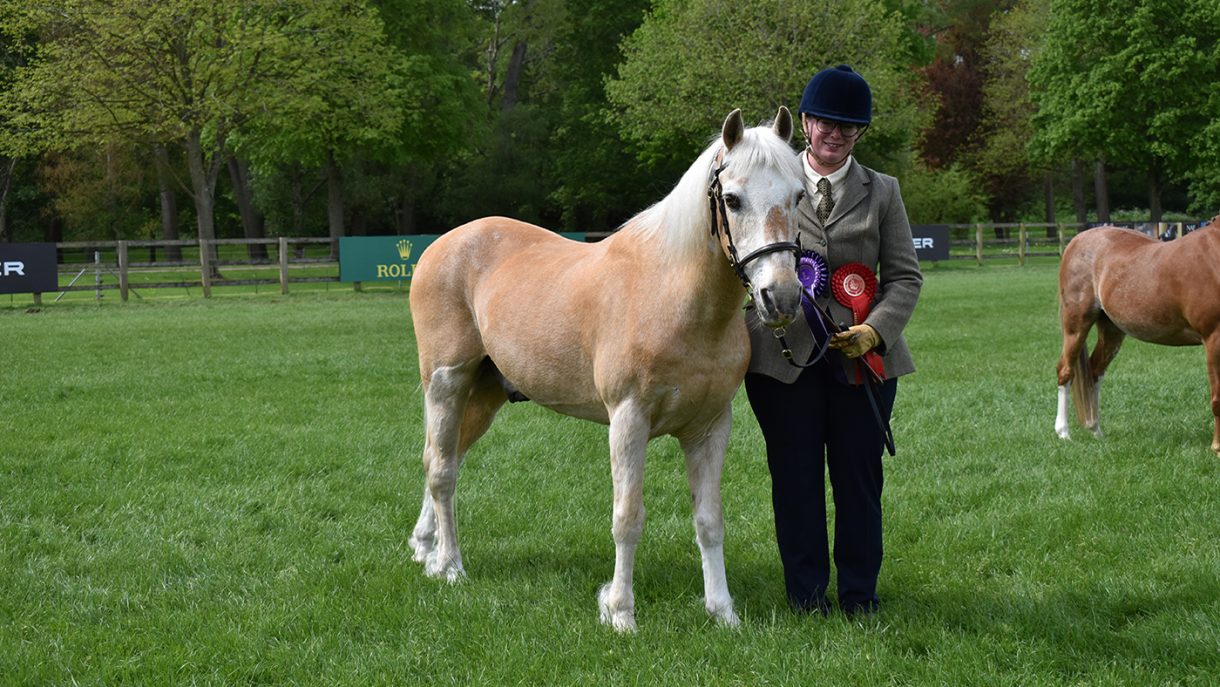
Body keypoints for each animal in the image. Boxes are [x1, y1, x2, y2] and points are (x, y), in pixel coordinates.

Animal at [406, 108, 806, 631]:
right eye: (732, 199)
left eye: (798, 195)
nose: (781, 297)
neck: (673, 298)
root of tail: (441, 246)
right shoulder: (628, 420)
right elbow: (627, 518)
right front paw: (619, 612)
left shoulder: (710, 428)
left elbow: (710, 521)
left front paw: (722, 611)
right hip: (446, 381)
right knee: (442, 471)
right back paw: (450, 566)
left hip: (485, 393)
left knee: (444, 457)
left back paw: (426, 550)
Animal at [1054, 218, 1220, 453]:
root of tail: (1077, 241)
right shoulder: (1213, 337)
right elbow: (1217, 398)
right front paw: (1217, 448)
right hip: (1076, 325)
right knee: (1065, 371)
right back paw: (1063, 432)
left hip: (1111, 331)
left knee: (1095, 372)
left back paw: (1096, 431)